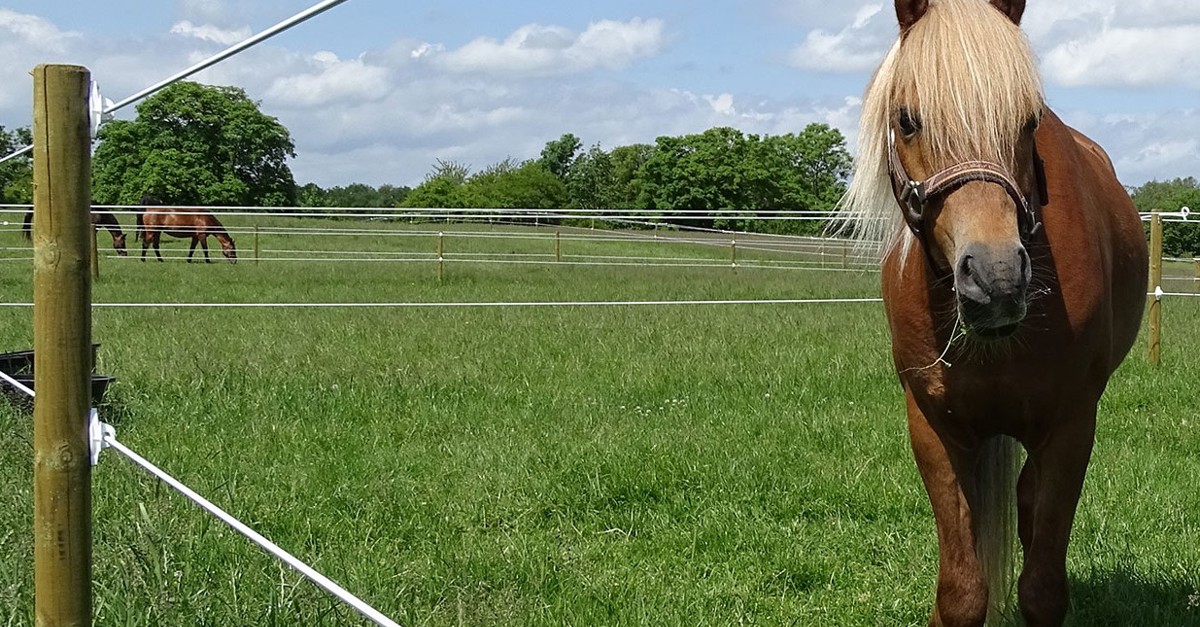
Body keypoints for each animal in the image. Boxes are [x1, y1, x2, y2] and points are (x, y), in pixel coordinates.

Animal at [834, 1, 1147, 625]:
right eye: (907, 119)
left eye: (1029, 122)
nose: (997, 279)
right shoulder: (936, 429)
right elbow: (961, 590)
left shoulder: (1071, 427)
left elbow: (1042, 588)